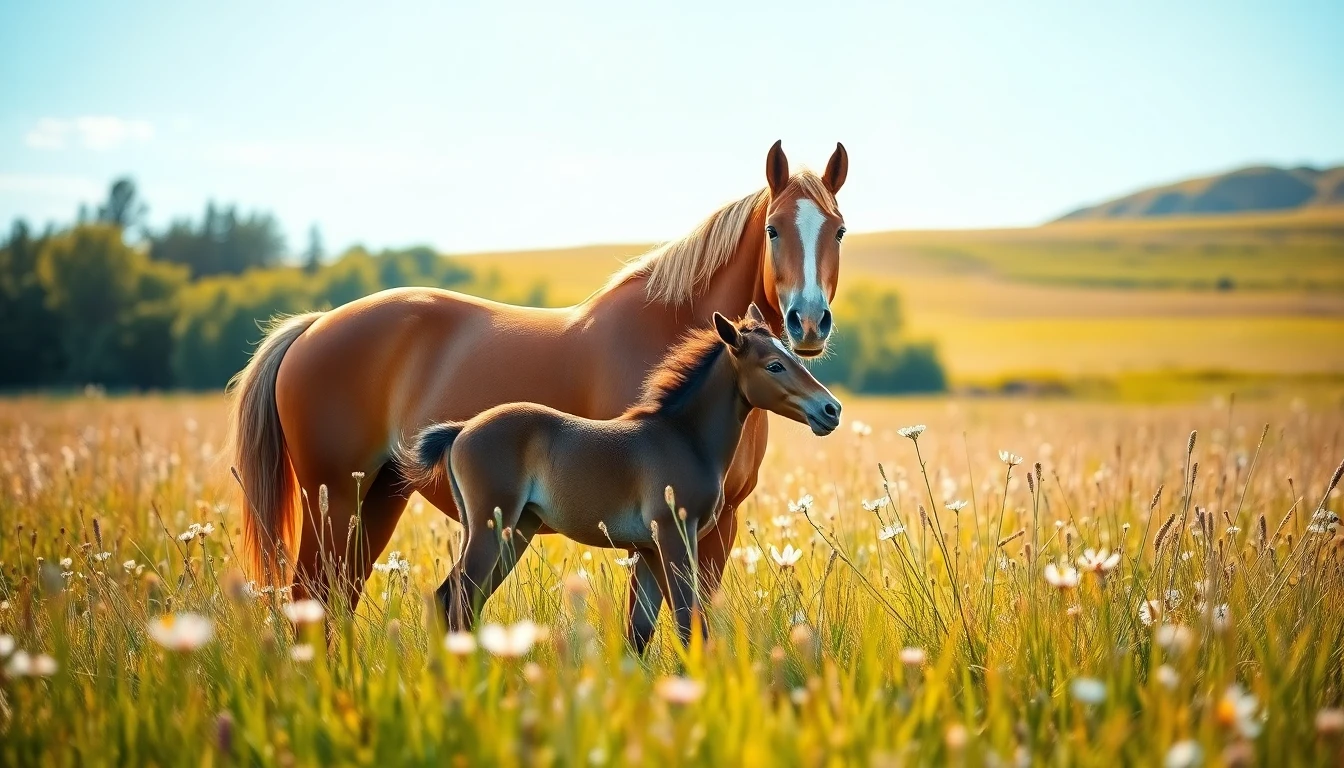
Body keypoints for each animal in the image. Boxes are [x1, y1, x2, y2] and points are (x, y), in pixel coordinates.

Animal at [396, 306, 842, 648]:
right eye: (774, 364)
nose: (831, 410)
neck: (684, 436)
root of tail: (461, 430)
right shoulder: (674, 535)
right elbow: (688, 622)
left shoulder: (647, 549)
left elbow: (641, 633)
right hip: (491, 528)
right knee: (460, 599)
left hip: (514, 530)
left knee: (453, 598)